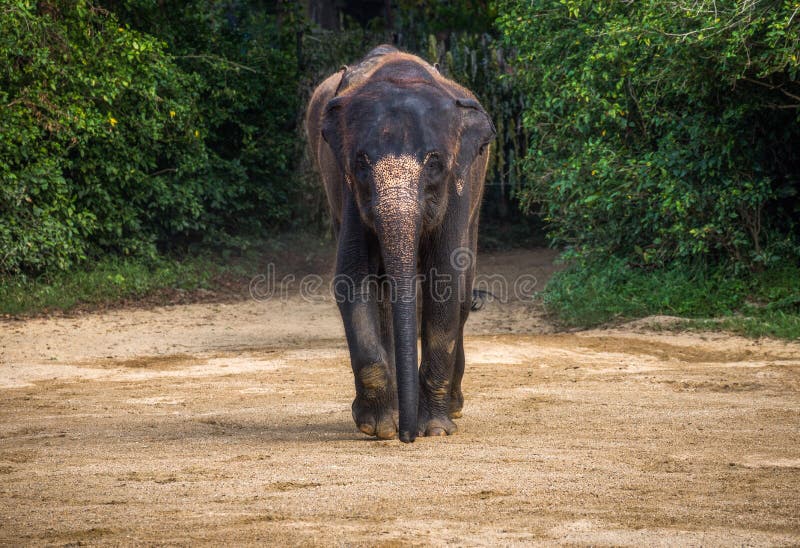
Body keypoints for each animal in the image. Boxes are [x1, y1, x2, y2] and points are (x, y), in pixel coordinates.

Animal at [305, 45, 495, 443]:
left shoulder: (458, 185)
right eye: (361, 162)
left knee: (465, 291)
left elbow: (445, 282)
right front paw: (379, 428)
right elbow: (353, 278)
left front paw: (434, 430)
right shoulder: (349, 191)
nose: (408, 437)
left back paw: (453, 407)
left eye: (435, 163)